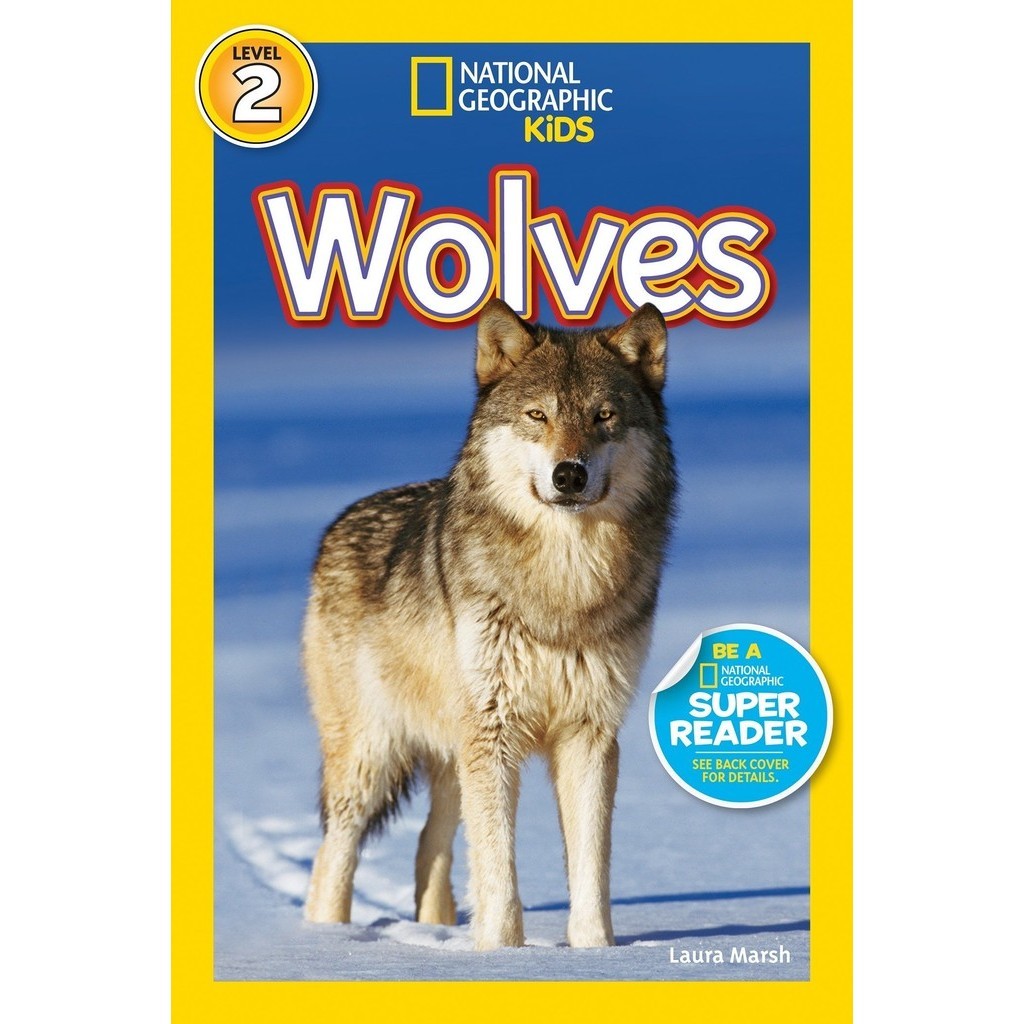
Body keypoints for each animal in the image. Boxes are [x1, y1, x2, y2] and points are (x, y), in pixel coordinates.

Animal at [302, 297, 676, 949]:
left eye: (603, 416)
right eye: (537, 415)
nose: (569, 475)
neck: (562, 583)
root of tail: (339, 521)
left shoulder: (588, 733)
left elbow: (590, 866)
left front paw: (596, 952)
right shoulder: (494, 733)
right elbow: (499, 869)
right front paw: (502, 954)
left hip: (451, 757)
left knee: (432, 844)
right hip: (371, 756)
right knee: (334, 854)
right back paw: (327, 939)